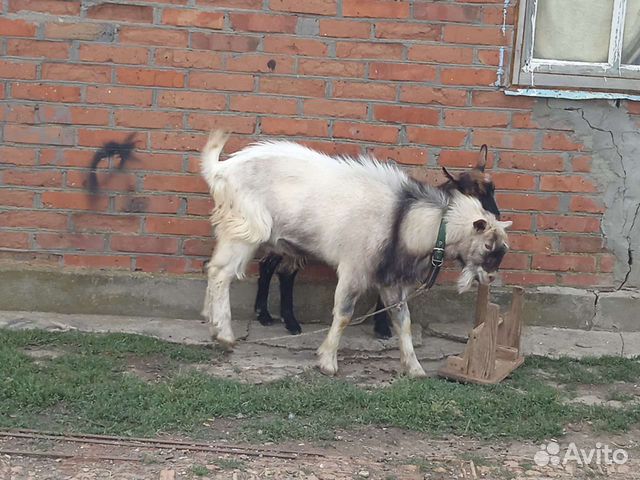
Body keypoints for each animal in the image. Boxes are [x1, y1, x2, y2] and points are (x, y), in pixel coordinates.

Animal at [253, 145, 502, 339]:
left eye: (493, 188)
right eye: (471, 193)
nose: (495, 216)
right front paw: (382, 328)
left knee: (269, 267)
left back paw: (265, 314)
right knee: (282, 272)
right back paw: (286, 321)